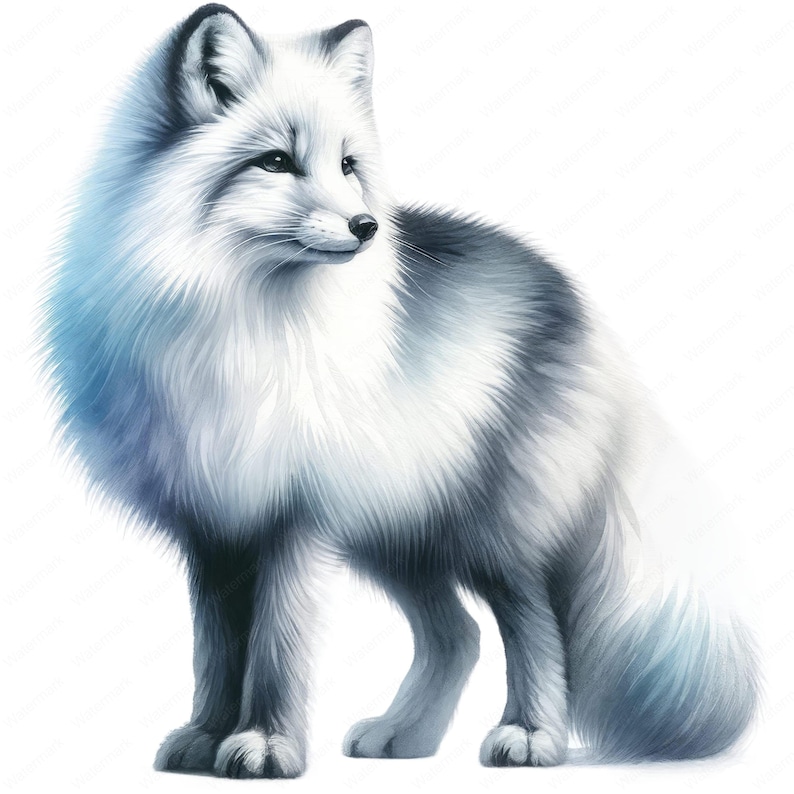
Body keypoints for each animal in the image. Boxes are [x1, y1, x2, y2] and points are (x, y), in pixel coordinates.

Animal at [41, 4, 757, 779]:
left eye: (348, 165)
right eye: (275, 161)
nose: (367, 227)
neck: (235, 321)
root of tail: (566, 293)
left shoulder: (293, 515)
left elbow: (275, 648)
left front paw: (265, 743)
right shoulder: (214, 526)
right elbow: (217, 651)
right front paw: (207, 736)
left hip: (490, 537)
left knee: (538, 625)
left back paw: (532, 735)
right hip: (398, 535)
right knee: (459, 635)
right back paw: (402, 736)